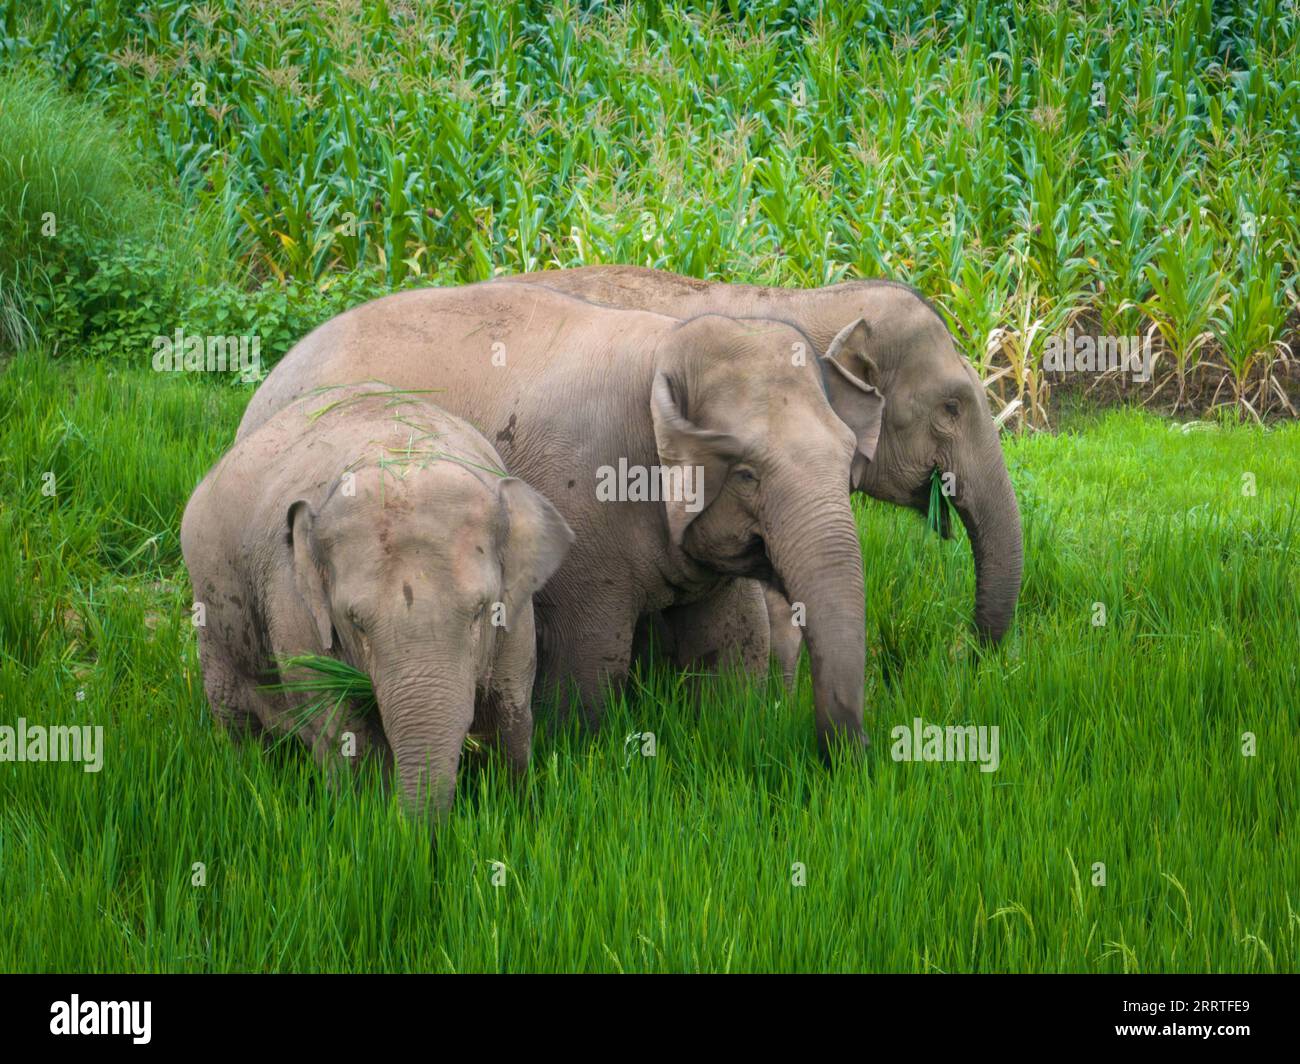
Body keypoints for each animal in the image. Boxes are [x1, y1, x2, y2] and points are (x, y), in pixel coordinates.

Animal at [182, 383, 574, 815]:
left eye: (478, 612)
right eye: (356, 622)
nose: (428, 832)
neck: (402, 451)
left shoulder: (518, 622)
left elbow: (511, 711)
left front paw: (513, 806)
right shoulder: (292, 607)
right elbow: (337, 721)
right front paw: (368, 816)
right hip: (213, 611)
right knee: (237, 721)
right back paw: (251, 775)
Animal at [238, 282, 870, 760]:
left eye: (849, 459)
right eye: (745, 473)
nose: (843, 759)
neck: (663, 347)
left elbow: (731, 644)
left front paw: (733, 725)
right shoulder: (579, 514)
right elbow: (588, 660)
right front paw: (581, 750)